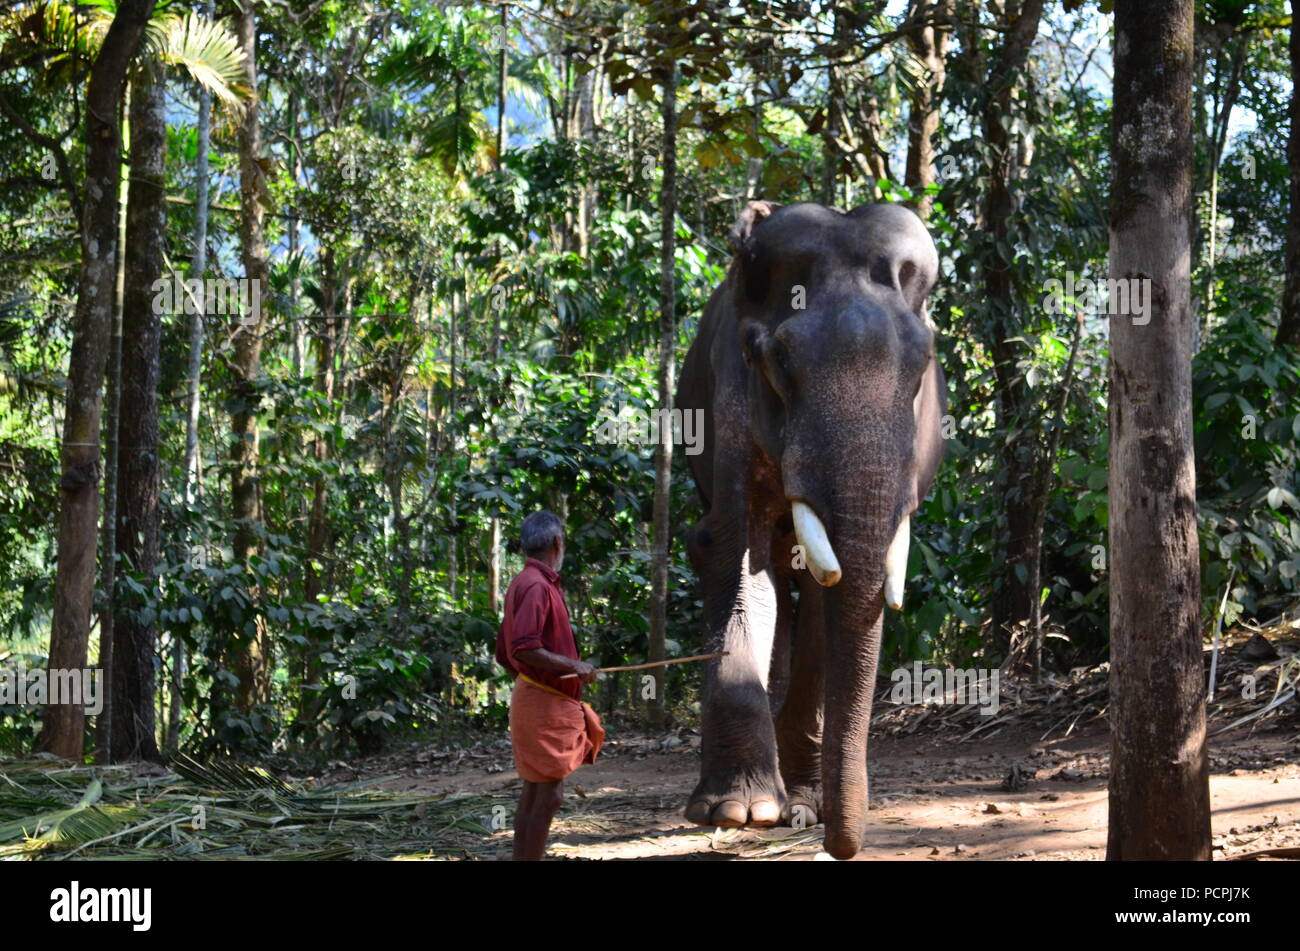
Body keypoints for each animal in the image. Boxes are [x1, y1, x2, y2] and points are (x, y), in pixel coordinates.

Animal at [675, 200, 946, 860]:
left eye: (923, 367)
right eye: (773, 363)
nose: (844, 845)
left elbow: (829, 599)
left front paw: (805, 807)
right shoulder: (729, 393)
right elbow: (733, 558)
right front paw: (739, 810)